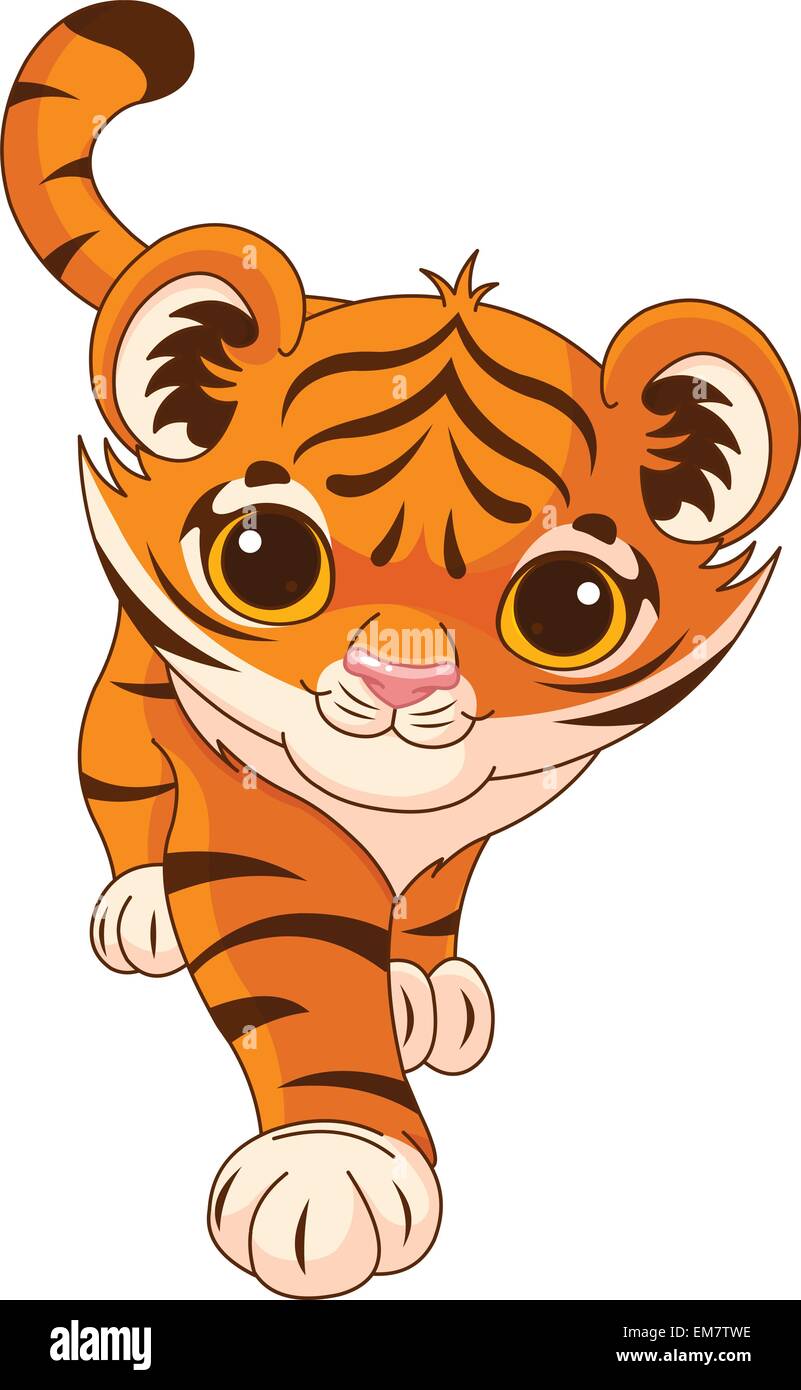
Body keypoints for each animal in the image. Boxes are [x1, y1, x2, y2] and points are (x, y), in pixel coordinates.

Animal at [3, 0, 798, 1301]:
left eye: (570, 606)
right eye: (266, 558)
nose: (399, 680)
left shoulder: (475, 814)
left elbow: (433, 889)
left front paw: (414, 977)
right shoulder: (257, 821)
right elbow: (308, 987)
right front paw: (331, 1172)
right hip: (124, 698)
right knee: (115, 776)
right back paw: (139, 906)